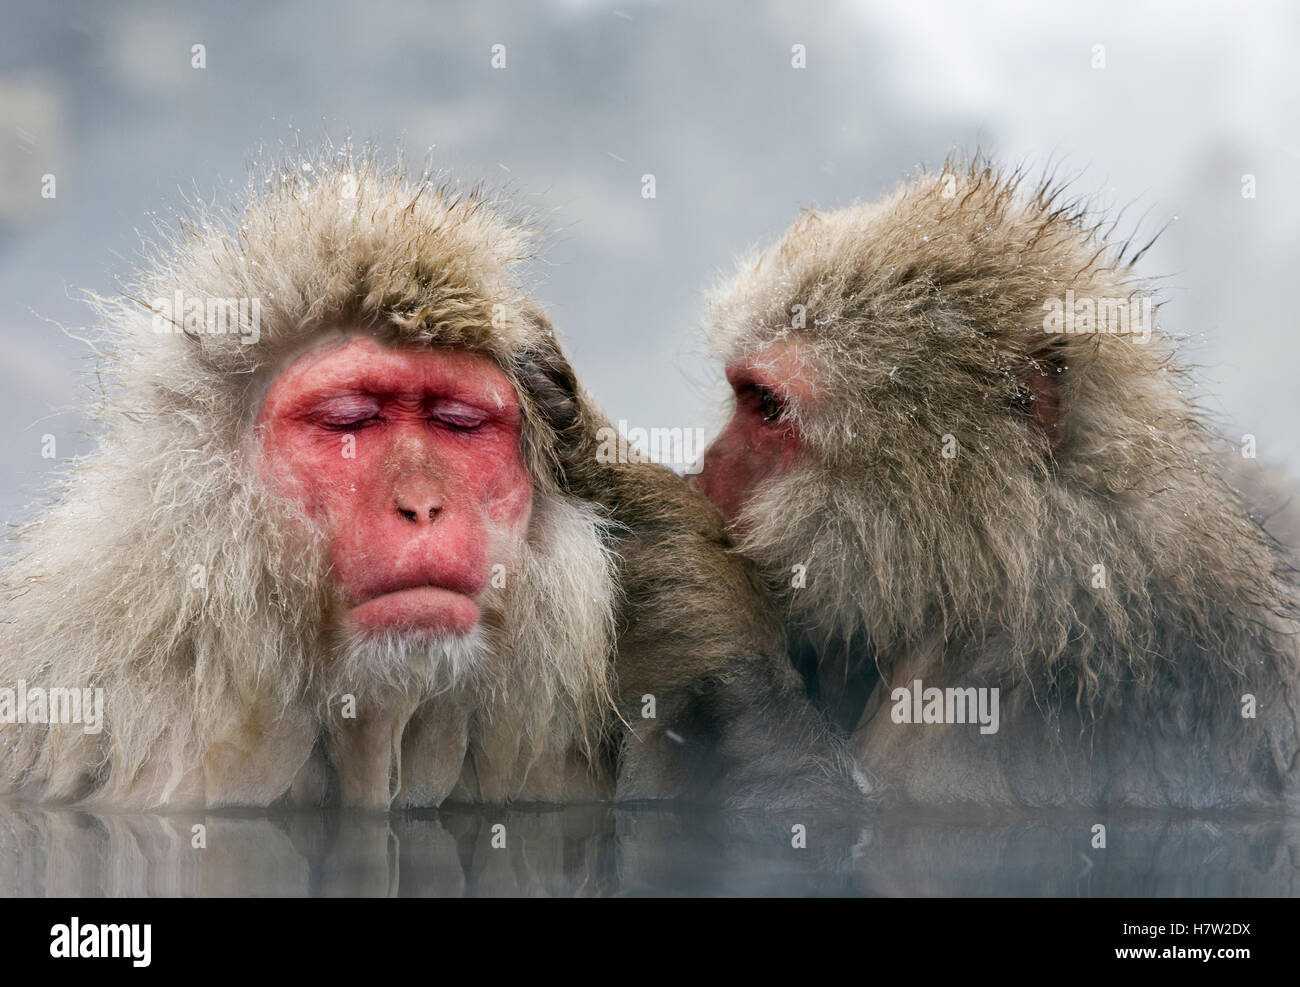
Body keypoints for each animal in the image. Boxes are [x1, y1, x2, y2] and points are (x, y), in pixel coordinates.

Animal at [692, 159, 1300, 809]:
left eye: (768, 407)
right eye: (743, 393)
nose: (706, 465)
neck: (1004, 564)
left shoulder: (1018, 685)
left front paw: (708, 610)